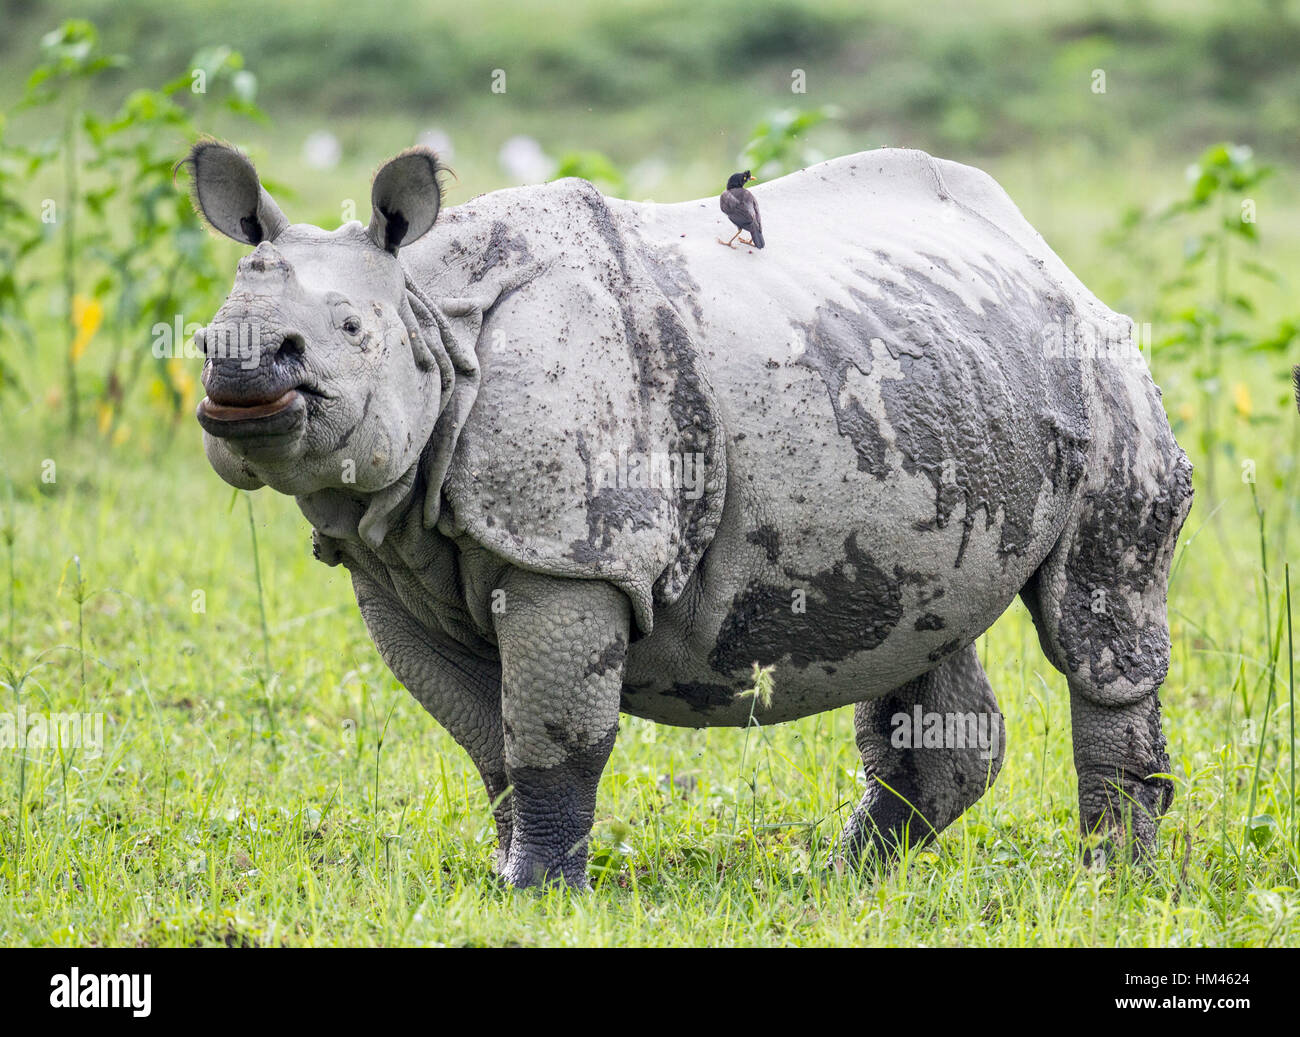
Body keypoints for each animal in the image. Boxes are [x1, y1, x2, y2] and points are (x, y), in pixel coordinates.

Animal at [184, 139, 1192, 888]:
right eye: (204, 335)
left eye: (352, 332)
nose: (240, 369)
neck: (434, 316)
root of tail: (1041, 250)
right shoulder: (389, 568)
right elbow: (488, 742)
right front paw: (508, 874)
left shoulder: (573, 556)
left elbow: (552, 736)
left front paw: (539, 892)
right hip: (943, 377)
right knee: (925, 622)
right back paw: (847, 879)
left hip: (1104, 364)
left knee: (1096, 627)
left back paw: (1110, 882)